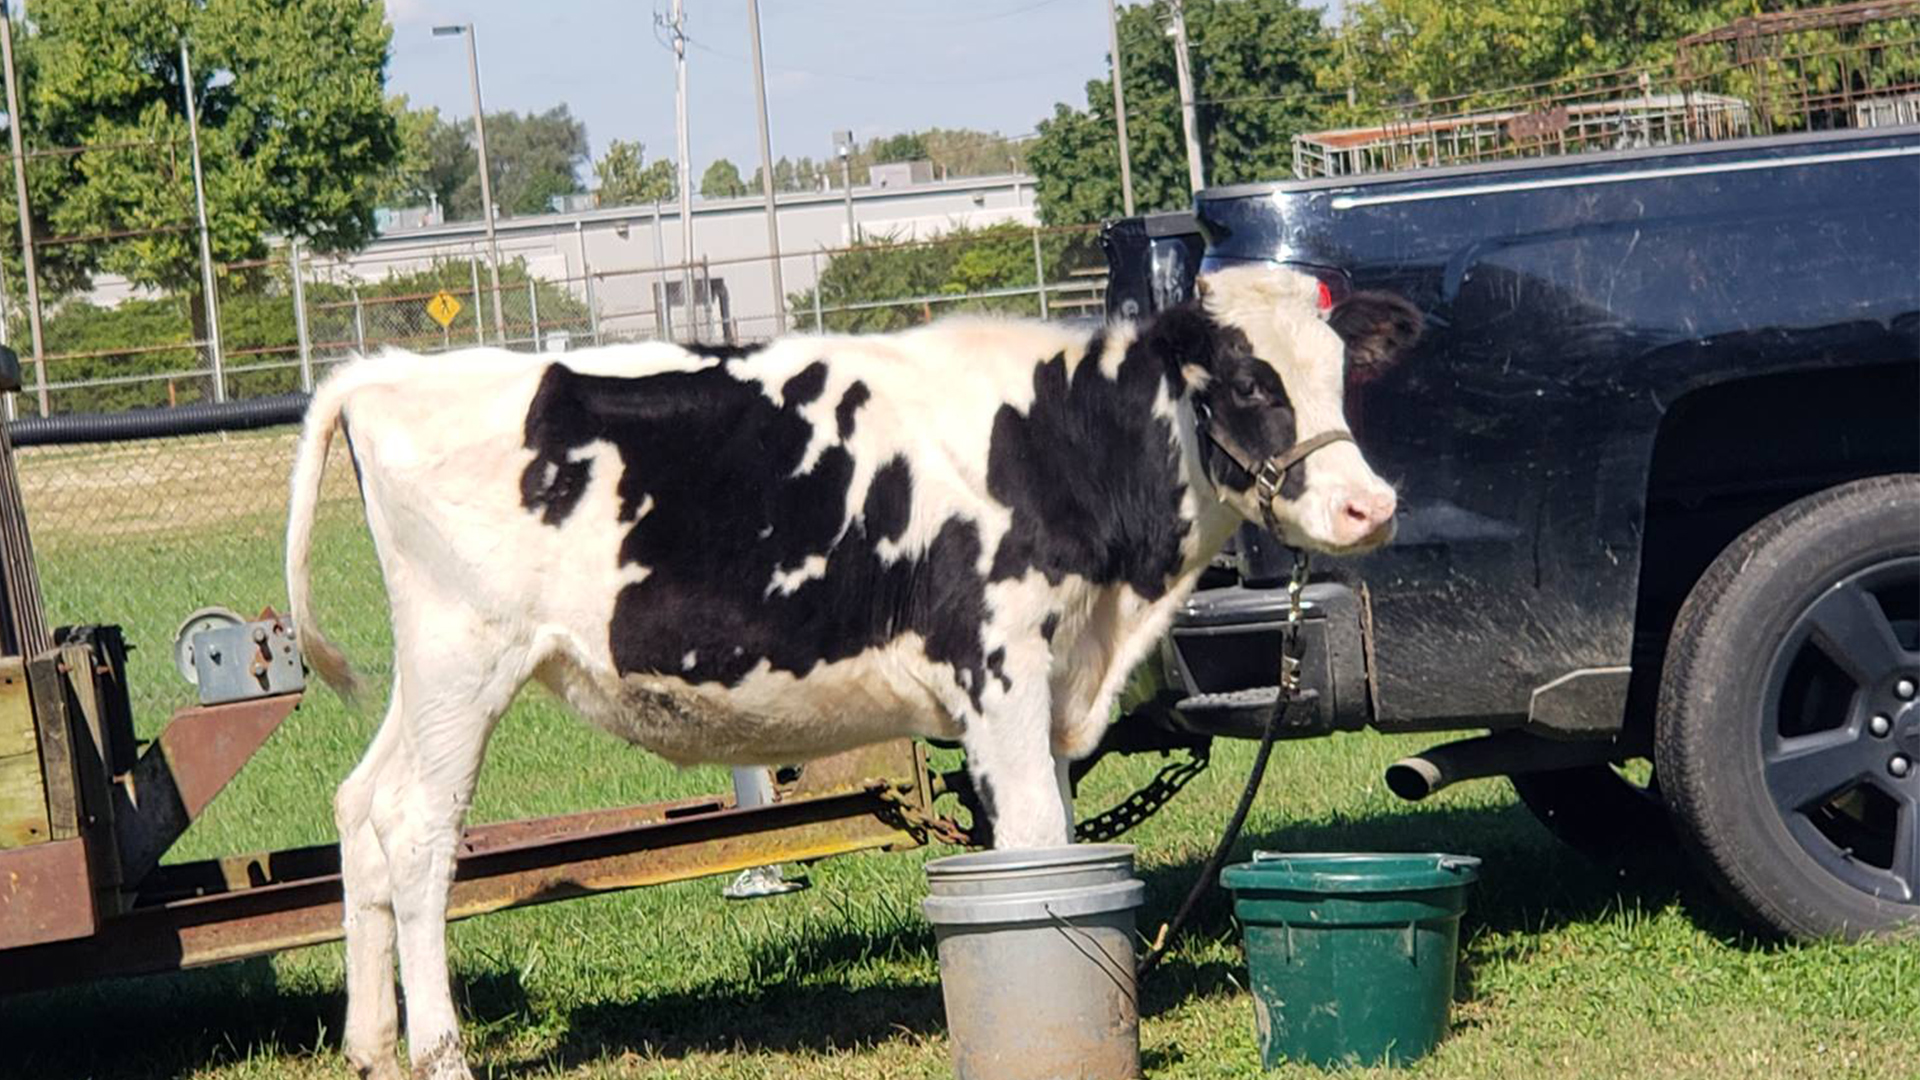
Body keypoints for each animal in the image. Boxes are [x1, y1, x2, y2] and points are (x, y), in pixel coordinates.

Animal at [284, 263, 1420, 1080]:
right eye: (1248, 382)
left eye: (1341, 376)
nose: (1368, 507)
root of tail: (388, 372)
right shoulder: (998, 673)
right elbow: (1037, 844)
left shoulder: (1053, 682)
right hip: (464, 657)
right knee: (418, 830)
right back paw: (438, 1055)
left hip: (427, 672)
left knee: (358, 804)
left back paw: (371, 1047)